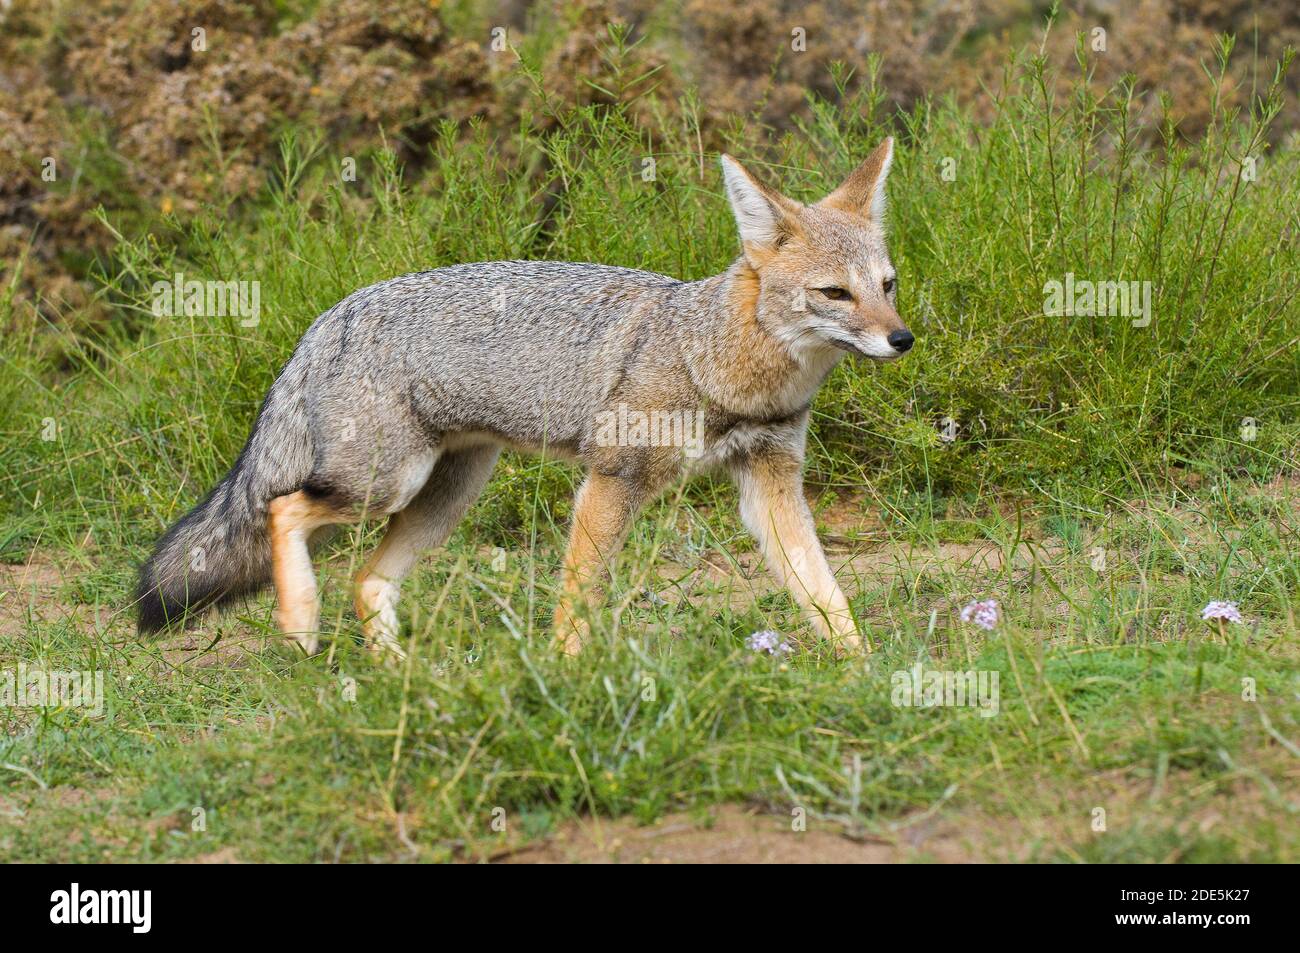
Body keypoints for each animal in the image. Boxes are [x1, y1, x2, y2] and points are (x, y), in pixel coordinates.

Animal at [136, 139, 913, 658]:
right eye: (834, 293)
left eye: (887, 284)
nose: (902, 338)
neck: (712, 357)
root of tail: (333, 314)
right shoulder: (612, 480)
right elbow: (578, 597)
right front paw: (568, 676)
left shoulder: (771, 481)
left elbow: (825, 593)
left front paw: (865, 673)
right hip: (382, 486)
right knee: (280, 506)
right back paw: (301, 626)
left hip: (441, 500)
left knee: (365, 578)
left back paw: (399, 676)